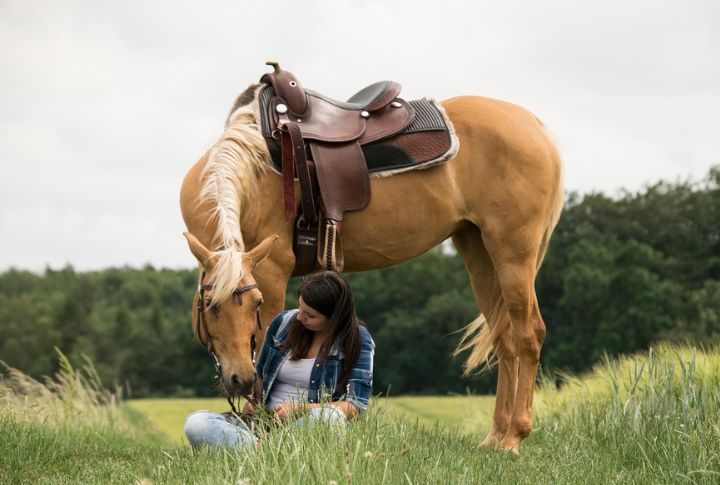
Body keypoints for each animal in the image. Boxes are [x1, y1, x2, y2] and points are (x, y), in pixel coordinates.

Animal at [180, 72, 564, 453]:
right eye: (210, 306)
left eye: (255, 304)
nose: (240, 379)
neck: (254, 170)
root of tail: (536, 126)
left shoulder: (272, 270)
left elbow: (265, 342)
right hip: (479, 252)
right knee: (505, 337)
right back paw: (495, 436)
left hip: (513, 252)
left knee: (529, 332)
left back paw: (514, 437)